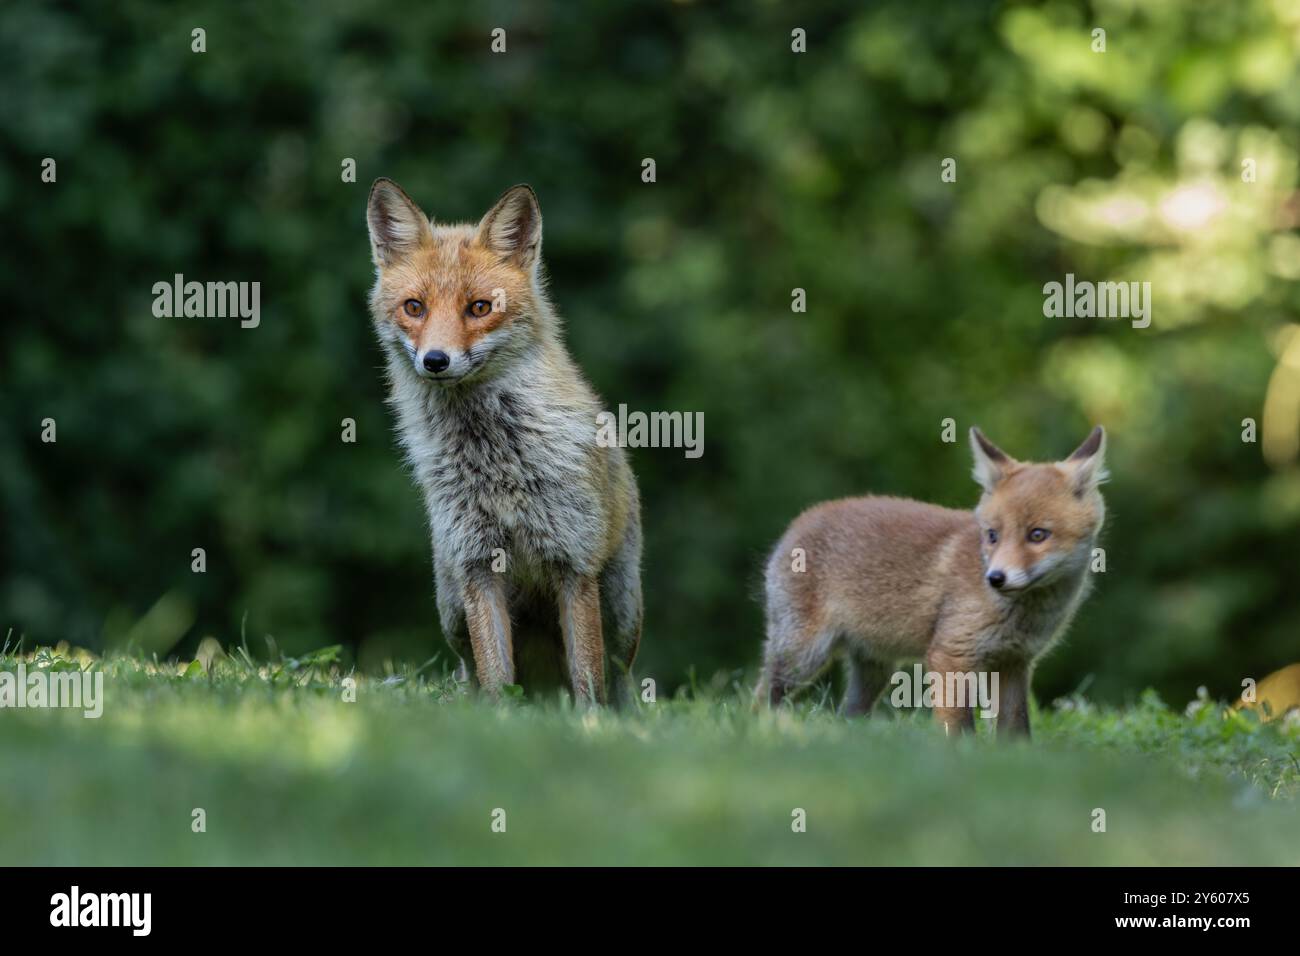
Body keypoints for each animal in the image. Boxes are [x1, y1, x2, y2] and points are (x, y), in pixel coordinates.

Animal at [364, 178, 642, 707]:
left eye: (480, 307)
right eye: (414, 308)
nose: (435, 360)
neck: (496, 461)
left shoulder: (573, 563)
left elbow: (588, 678)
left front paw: (590, 721)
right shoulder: (475, 565)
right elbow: (495, 676)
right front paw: (497, 719)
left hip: (622, 609)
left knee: (618, 678)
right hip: (450, 610)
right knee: (469, 671)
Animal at [756, 426, 1107, 737]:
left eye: (1037, 535)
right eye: (992, 535)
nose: (995, 578)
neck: (1024, 615)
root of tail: (801, 520)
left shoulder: (1014, 662)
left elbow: (1016, 726)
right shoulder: (951, 653)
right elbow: (960, 727)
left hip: (875, 669)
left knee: (848, 713)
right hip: (803, 654)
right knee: (762, 694)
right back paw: (763, 730)